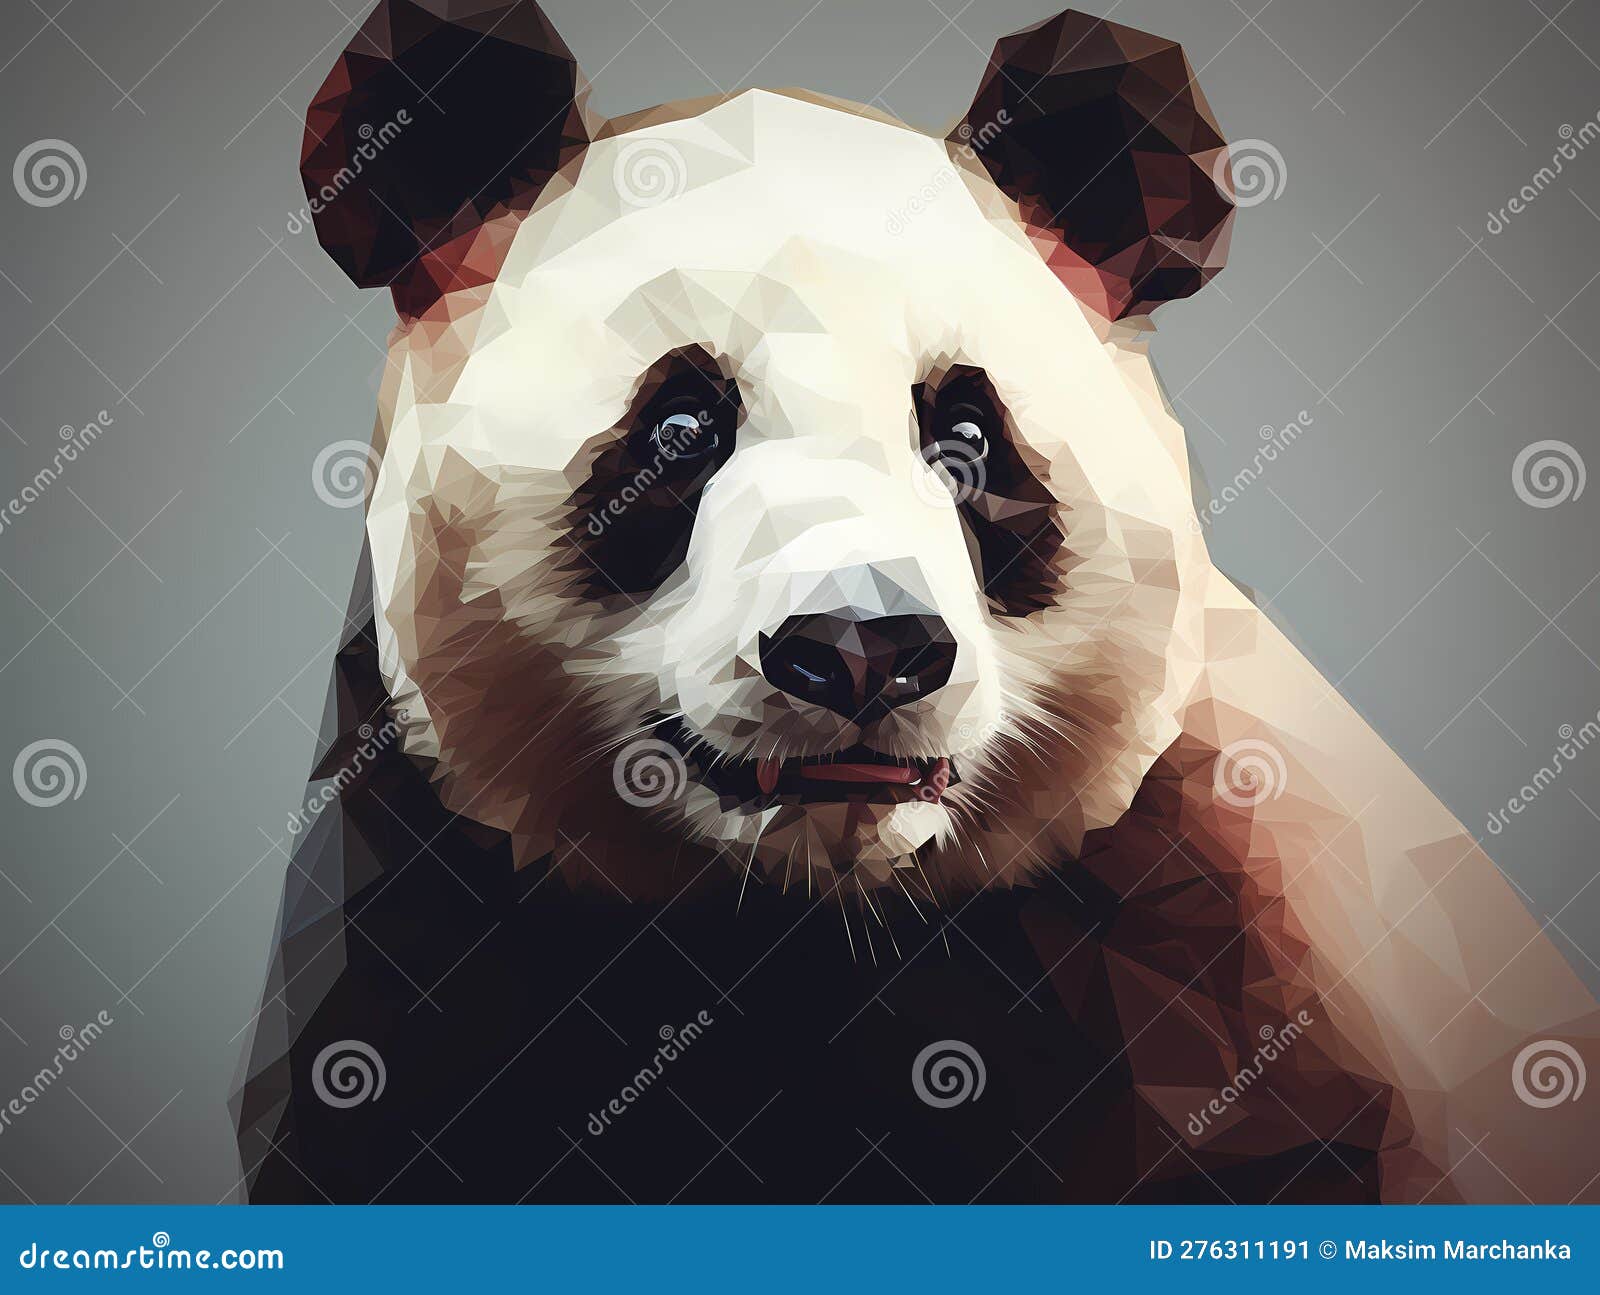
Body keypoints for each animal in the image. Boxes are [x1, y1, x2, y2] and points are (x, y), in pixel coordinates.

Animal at [233, 0, 1599, 1203]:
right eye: (679, 429)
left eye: (967, 440)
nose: (859, 645)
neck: (807, 940)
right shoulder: (420, 943)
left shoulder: (1223, 966)